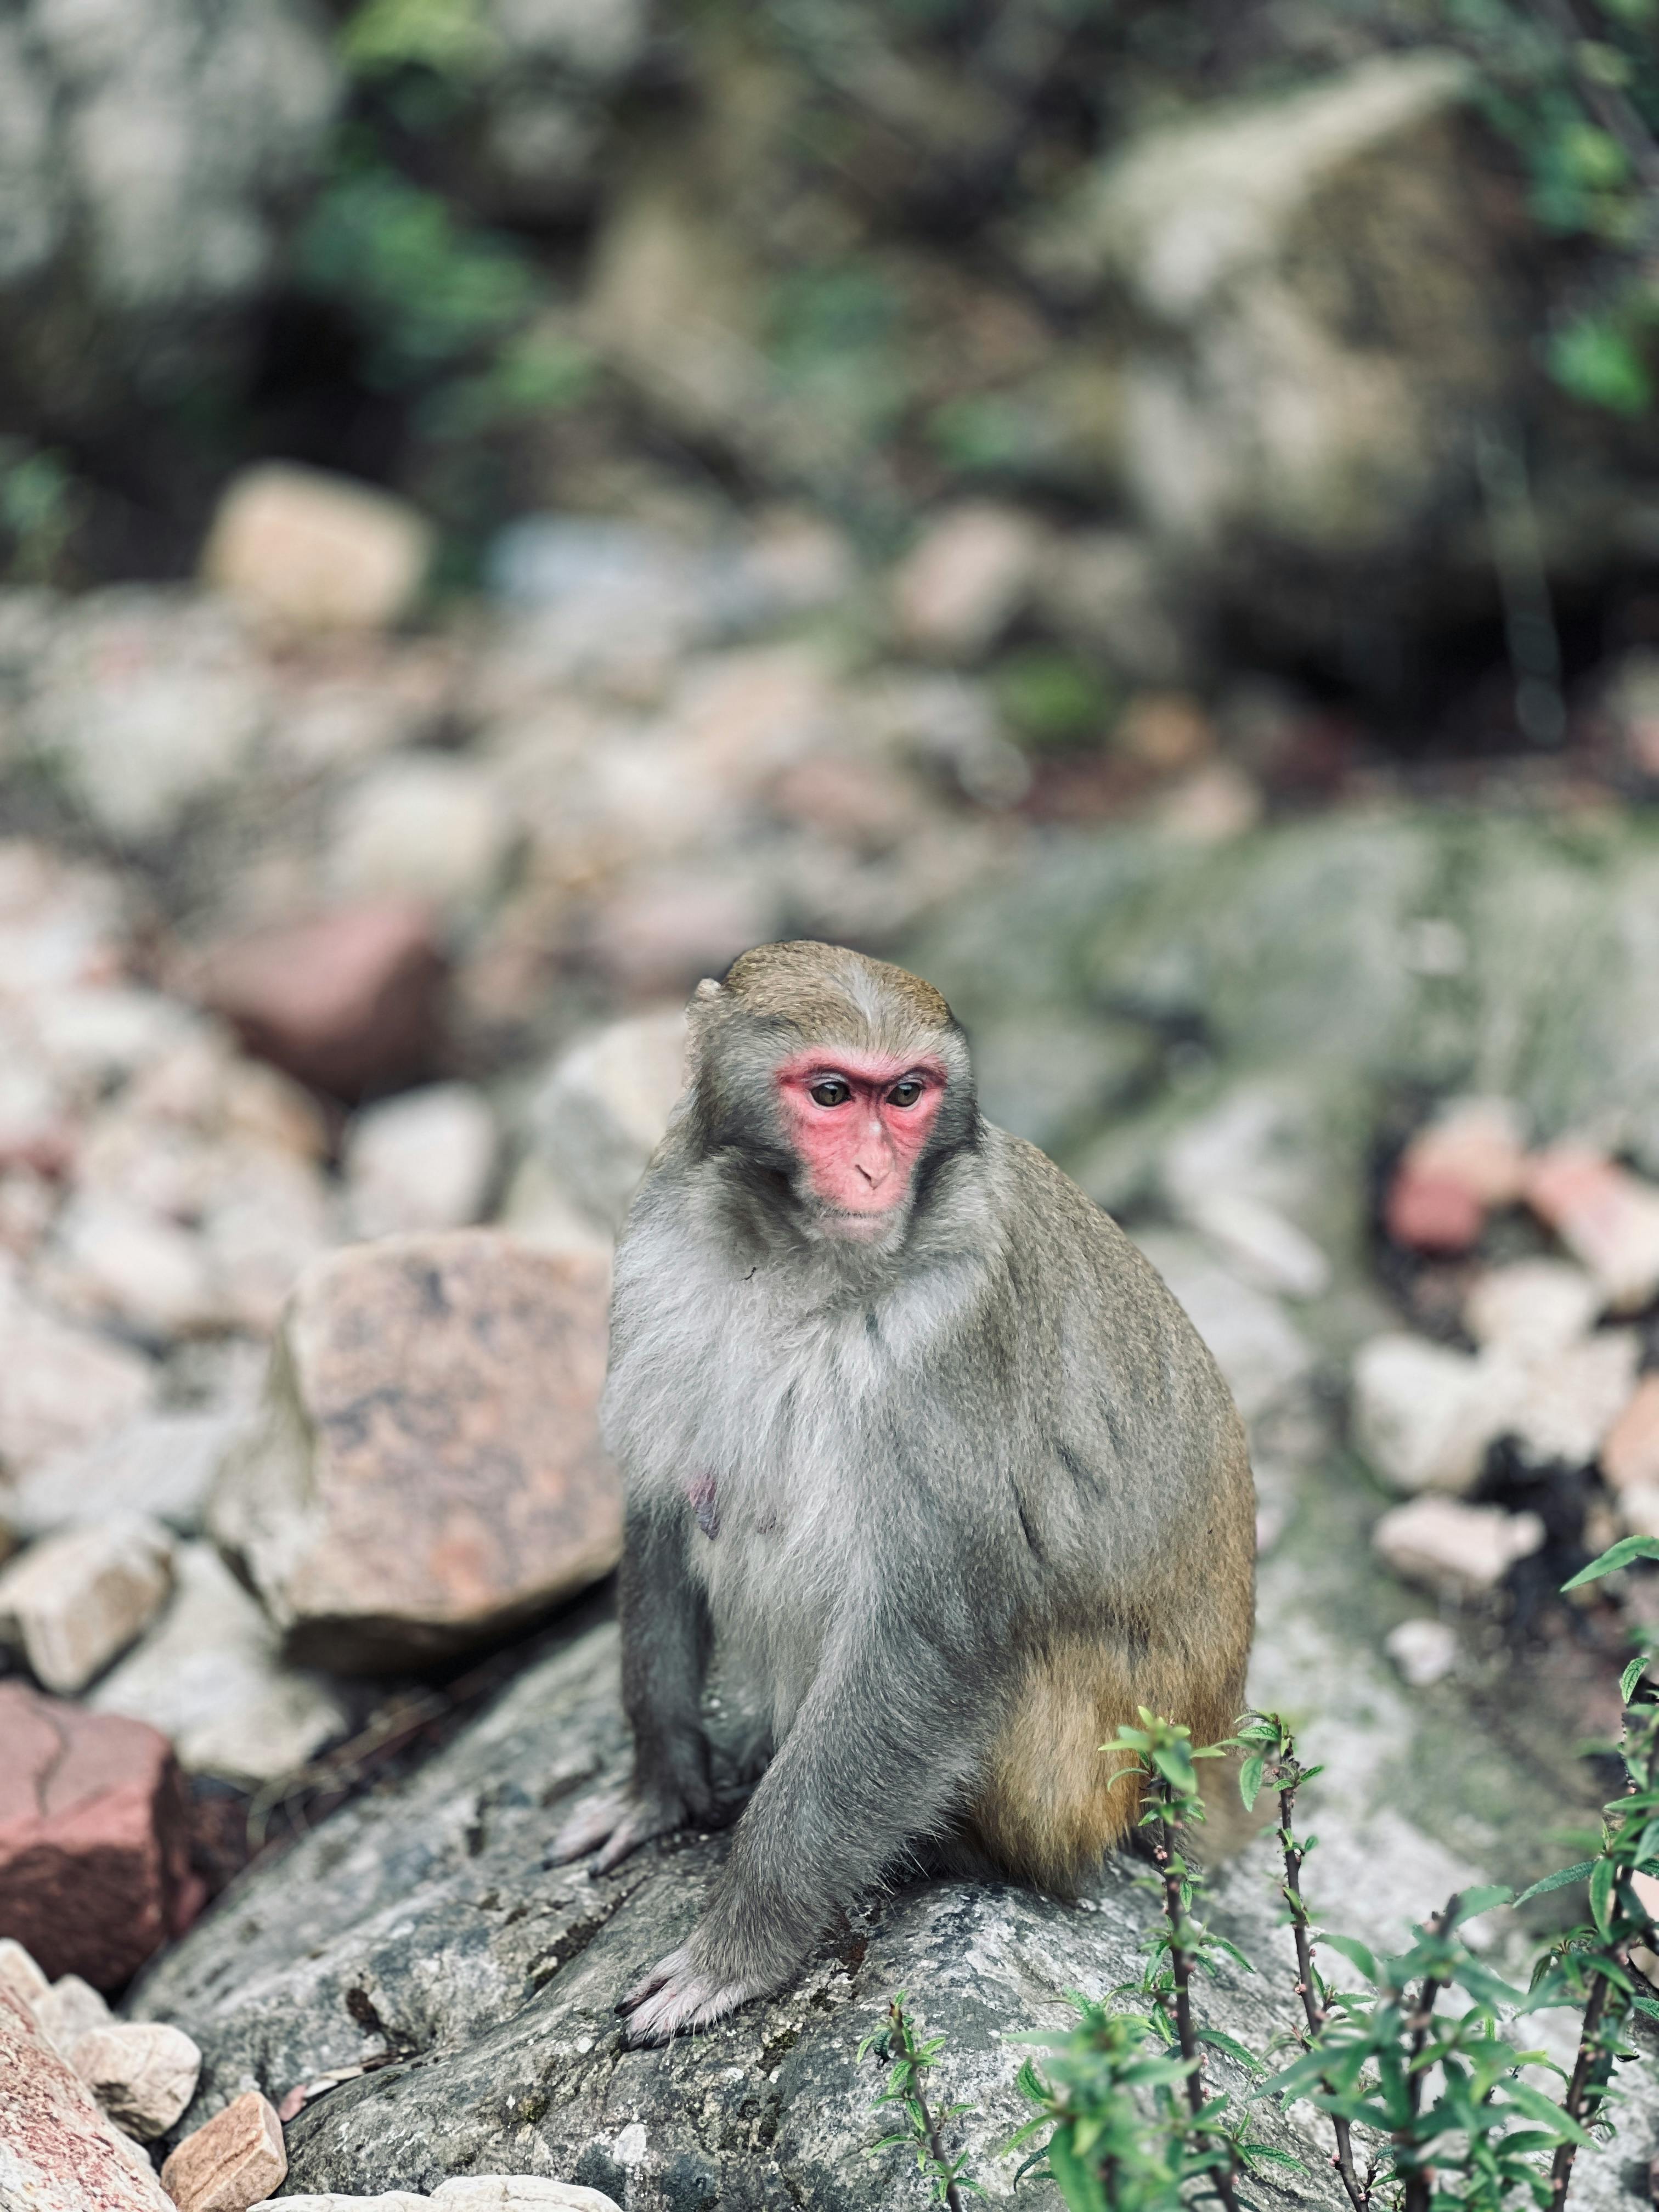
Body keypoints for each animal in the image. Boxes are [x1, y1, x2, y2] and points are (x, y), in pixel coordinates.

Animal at [550, 941, 1255, 2044]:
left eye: (908, 1095)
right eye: (833, 1094)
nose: (876, 1171)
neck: (791, 1257)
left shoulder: (950, 1340)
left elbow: (928, 1638)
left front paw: (737, 1948)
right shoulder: (662, 1246)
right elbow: (665, 1511)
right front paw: (657, 1787)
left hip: (1105, 1766)